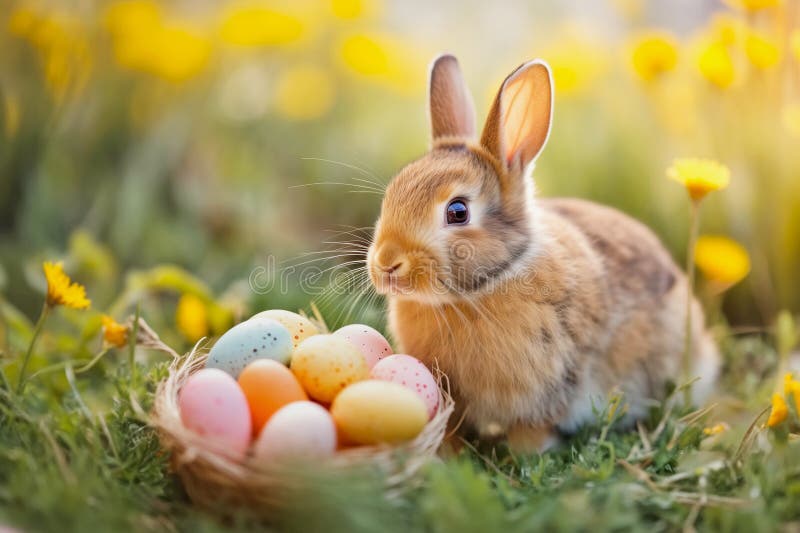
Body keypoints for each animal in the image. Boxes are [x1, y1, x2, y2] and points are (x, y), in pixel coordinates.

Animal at [365, 54, 720, 451]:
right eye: (392, 193)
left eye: (458, 211)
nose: (386, 263)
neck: (476, 293)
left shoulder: (549, 391)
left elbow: (533, 433)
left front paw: (526, 456)